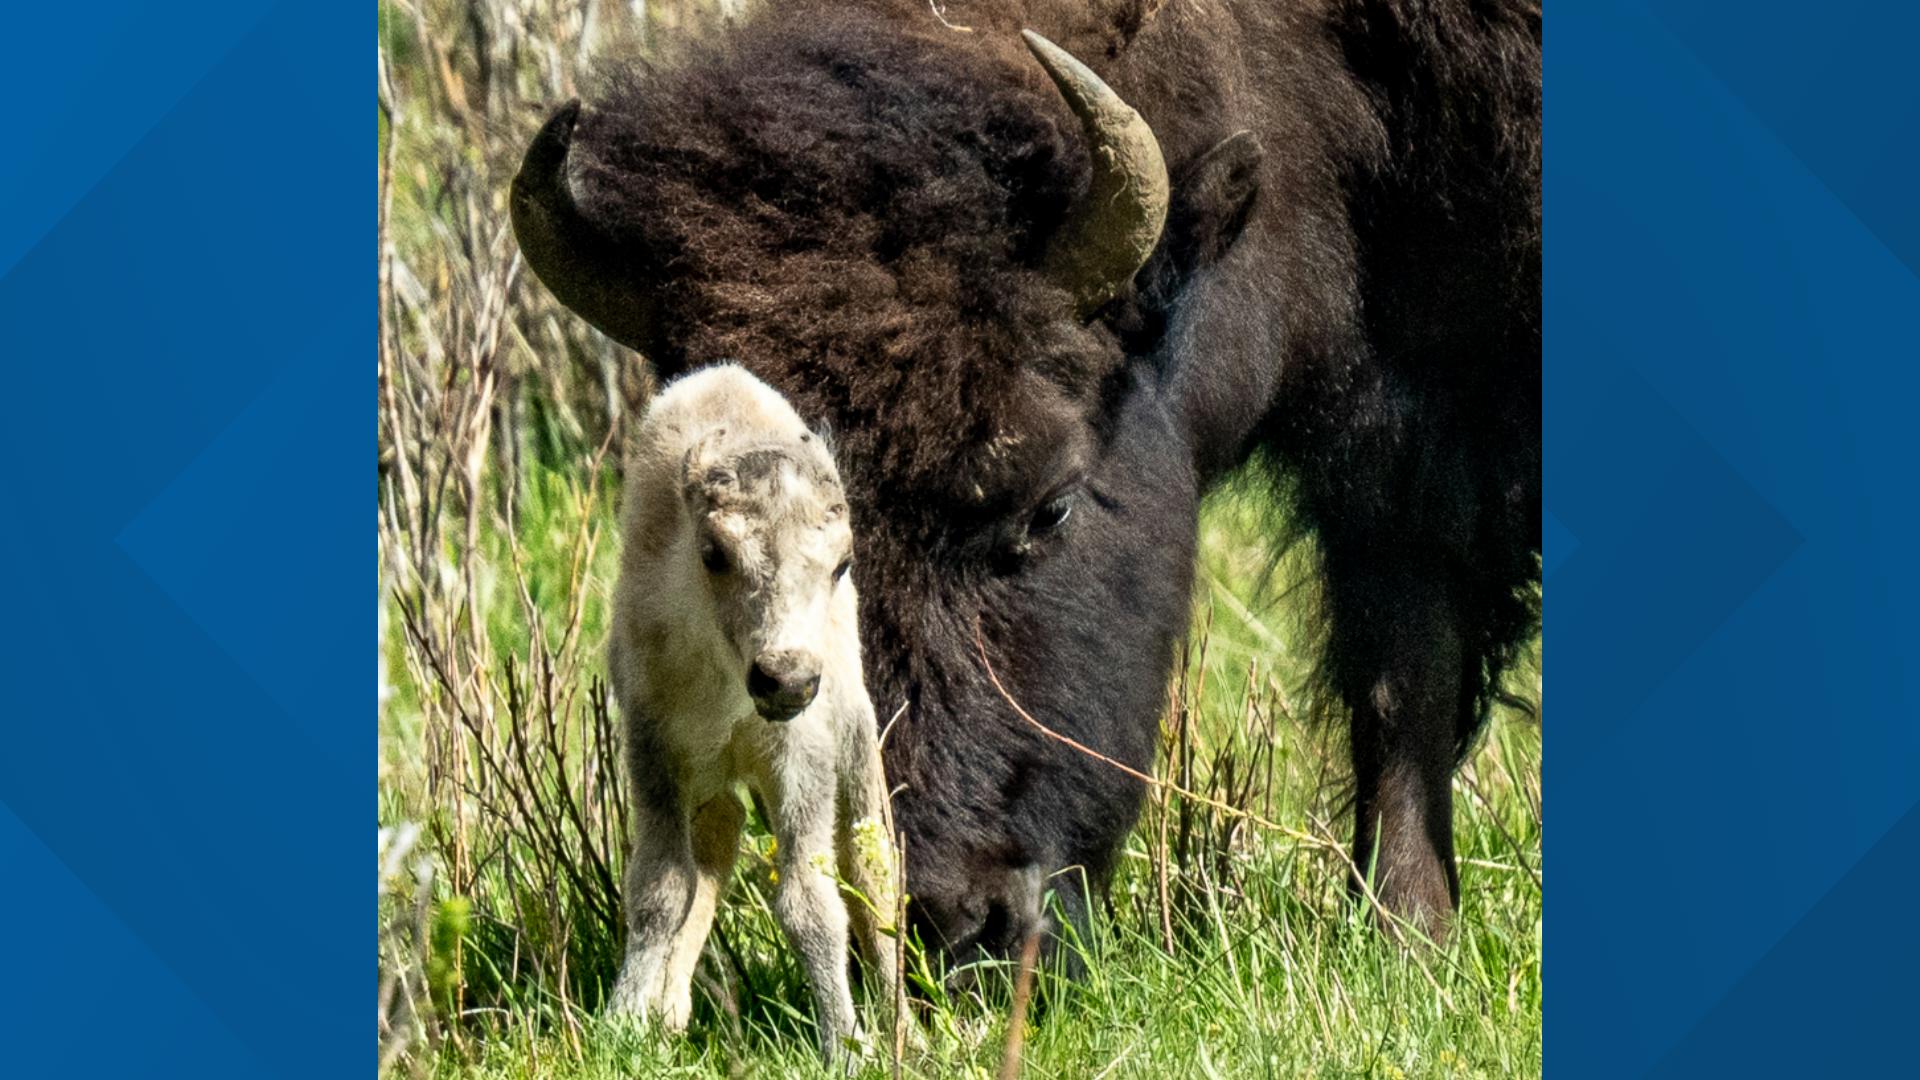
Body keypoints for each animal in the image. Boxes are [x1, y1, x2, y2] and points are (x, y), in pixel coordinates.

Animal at [511, 0, 1541, 966]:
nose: (954, 923)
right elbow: (1400, 676)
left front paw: (1407, 937)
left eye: (1052, 505)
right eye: (717, 550)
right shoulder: (1396, 455)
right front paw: (1412, 935)